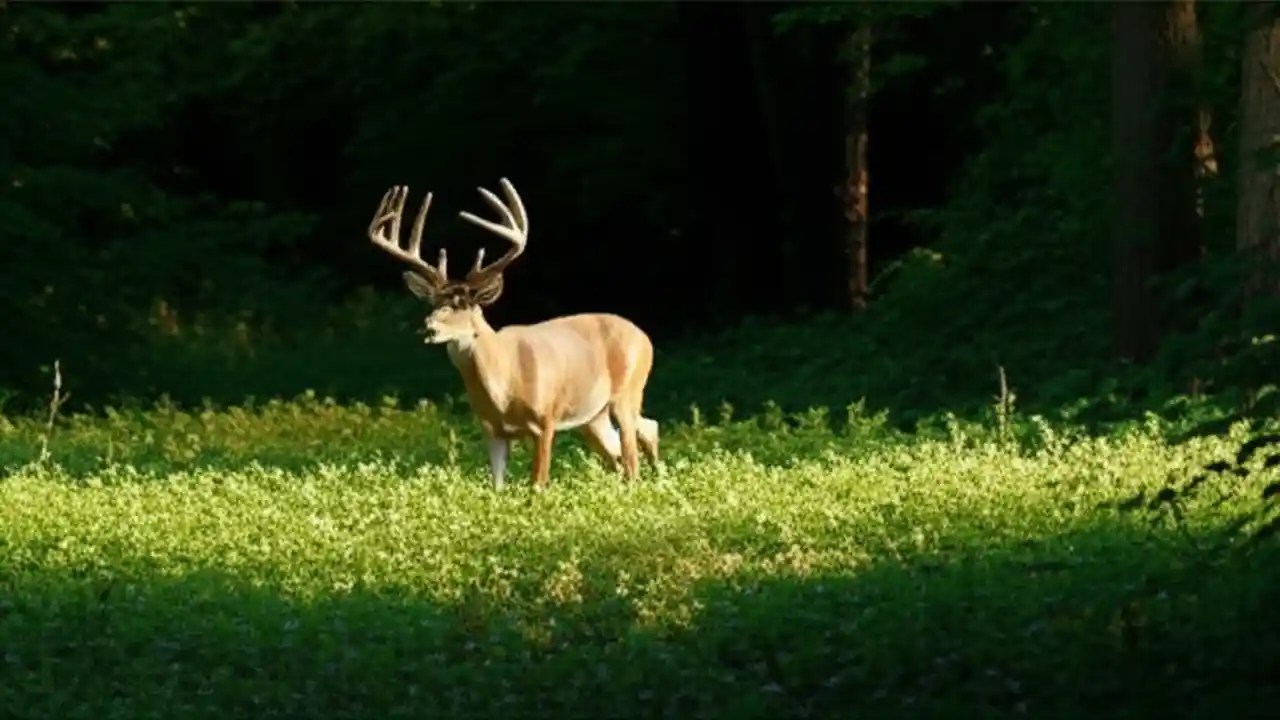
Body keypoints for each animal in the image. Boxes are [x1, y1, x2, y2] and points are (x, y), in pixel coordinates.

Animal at [365, 178, 660, 491]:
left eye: (463, 305)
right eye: (433, 303)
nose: (431, 326)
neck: (504, 384)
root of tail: (644, 336)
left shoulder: (545, 420)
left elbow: (537, 484)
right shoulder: (491, 430)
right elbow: (497, 487)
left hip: (628, 389)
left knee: (631, 455)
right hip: (592, 415)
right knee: (633, 441)